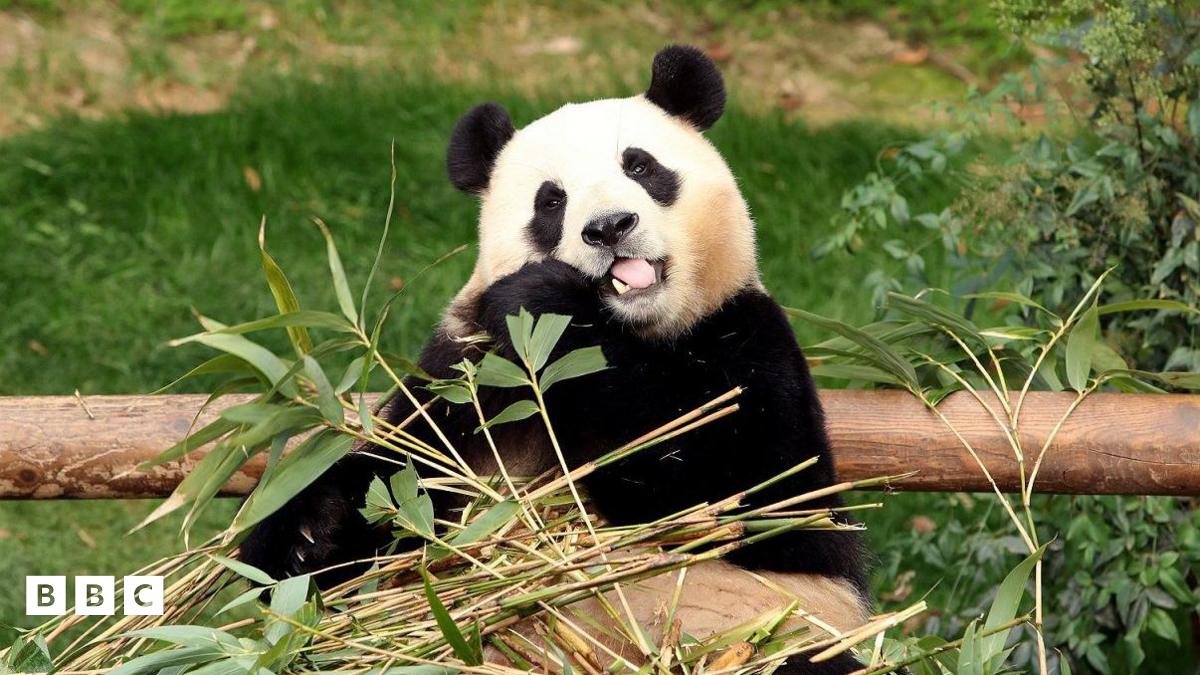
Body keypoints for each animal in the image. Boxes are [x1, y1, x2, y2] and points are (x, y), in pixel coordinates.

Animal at [241, 46, 872, 673]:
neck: (636, 328)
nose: (610, 227)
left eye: (640, 167)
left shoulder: (749, 338)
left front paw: (548, 303)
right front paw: (304, 540)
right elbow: (402, 474)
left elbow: (751, 497)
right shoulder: (464, 378)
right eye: (551, 200)